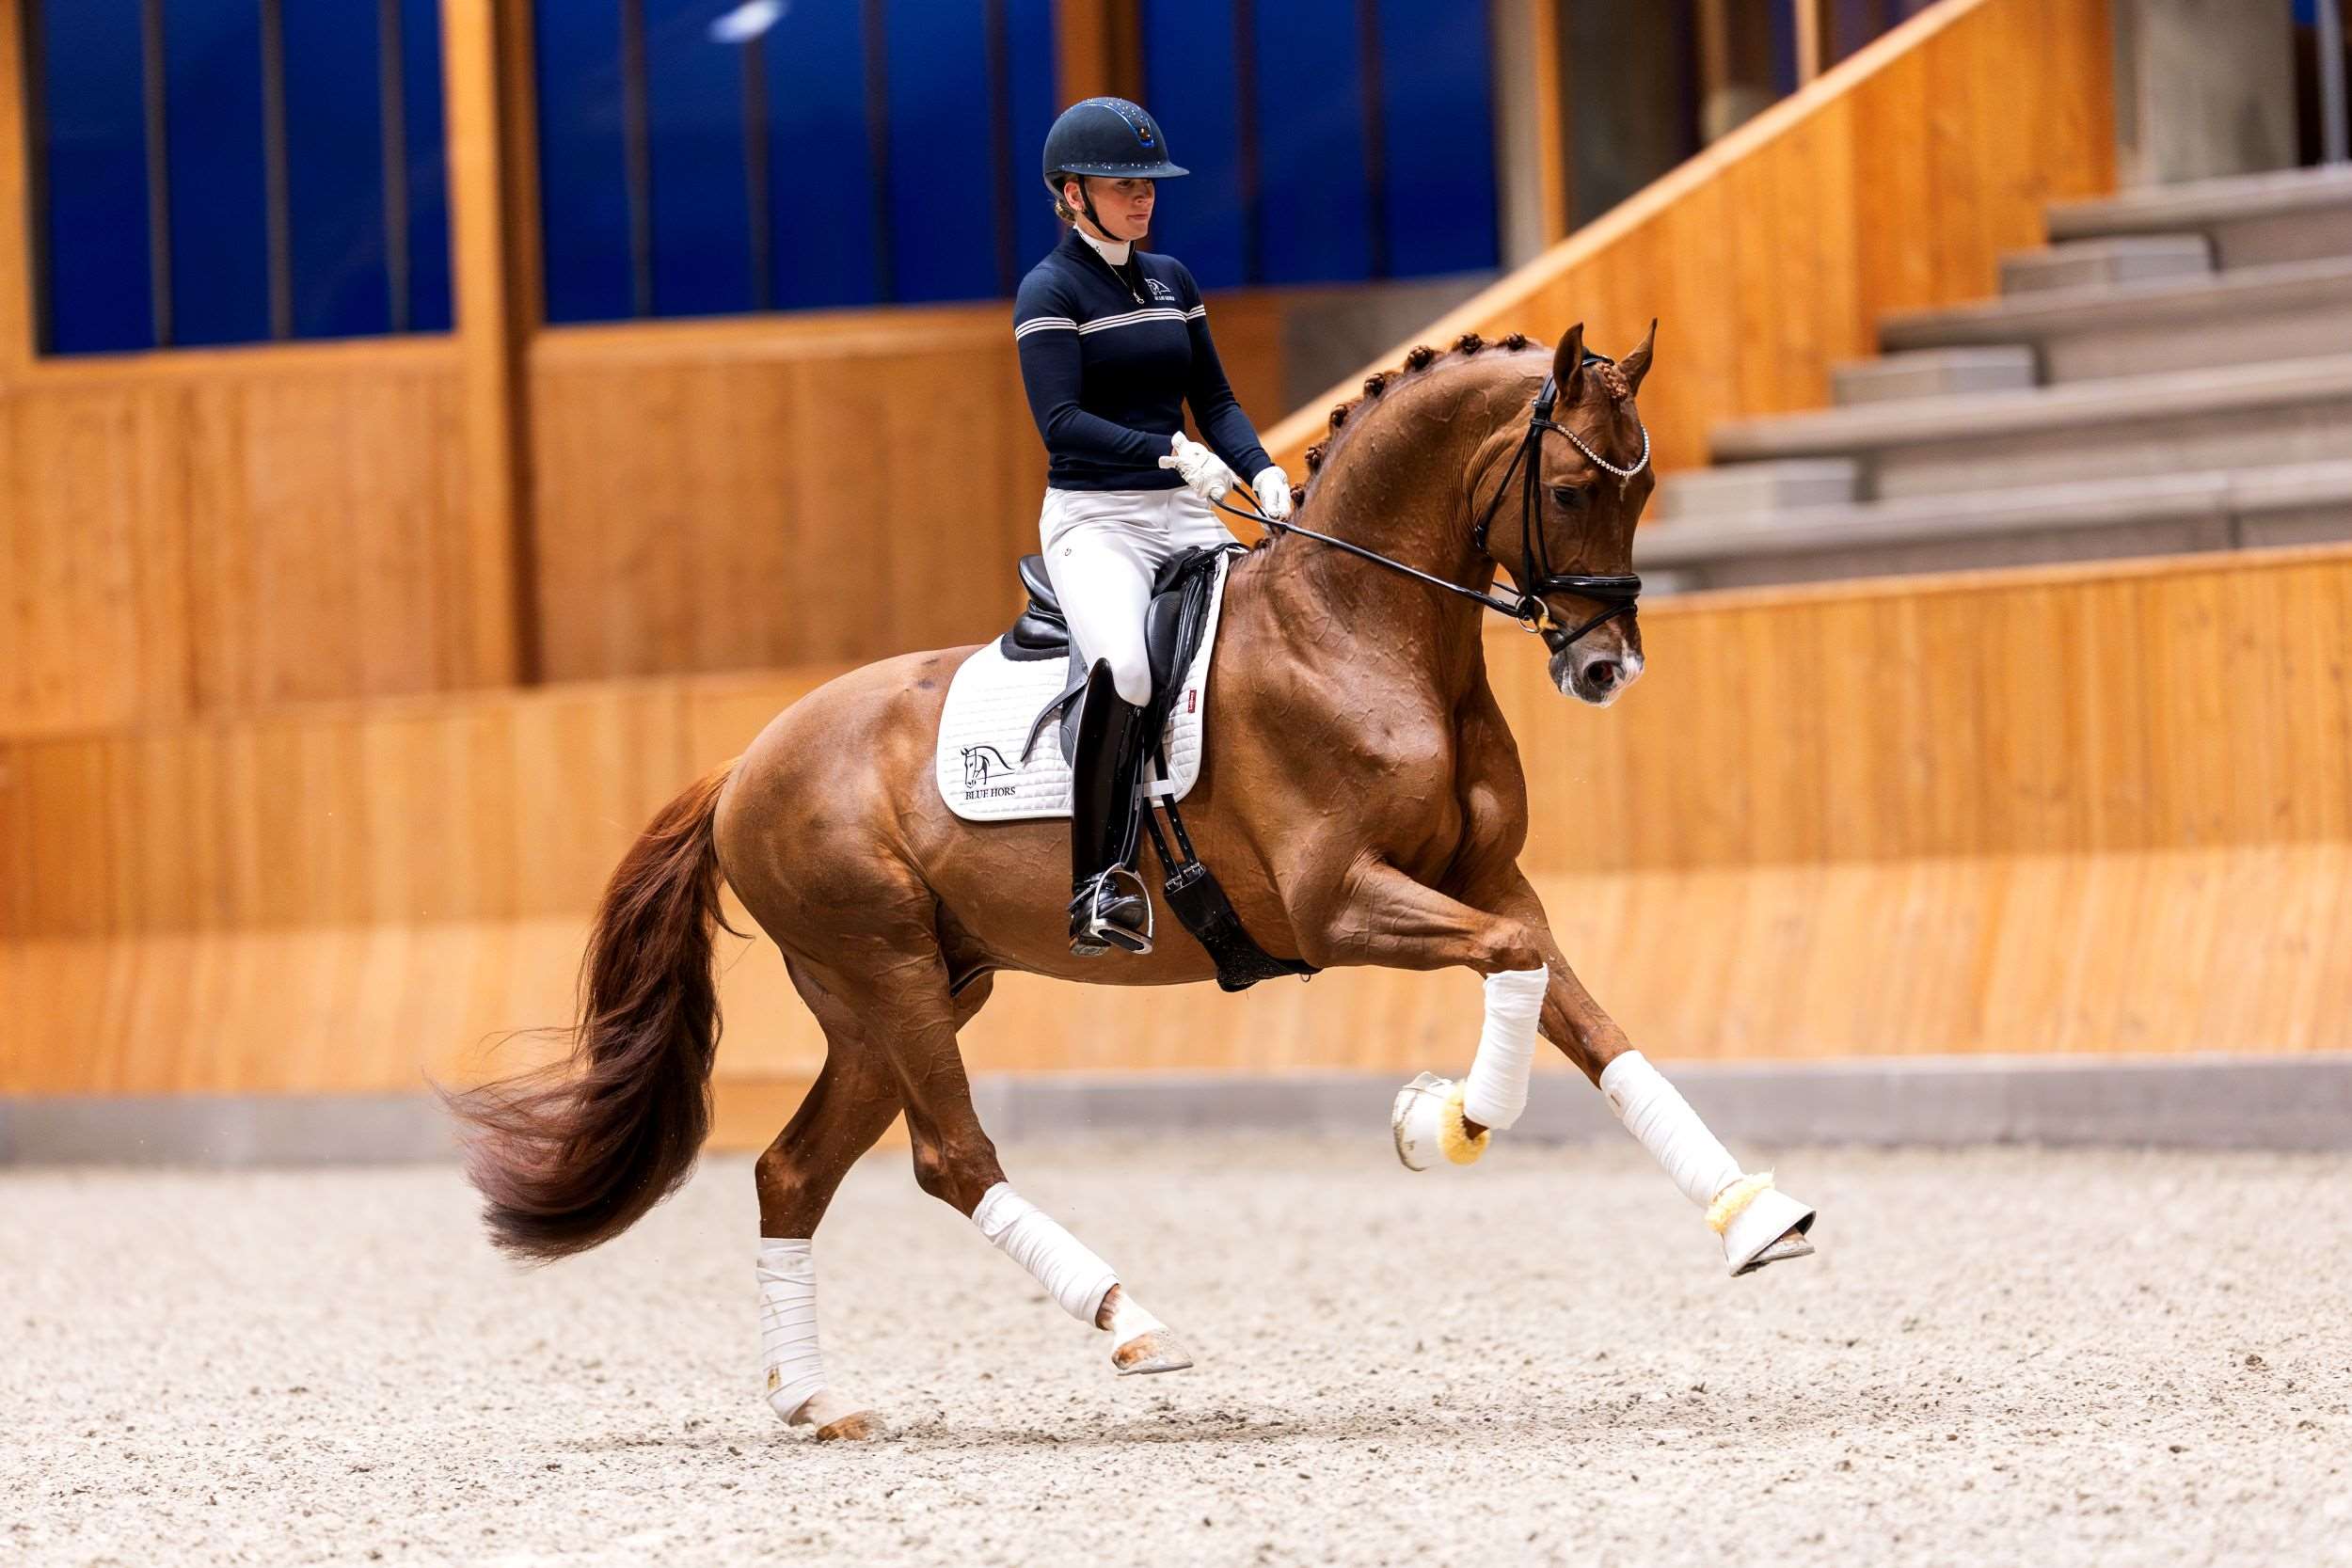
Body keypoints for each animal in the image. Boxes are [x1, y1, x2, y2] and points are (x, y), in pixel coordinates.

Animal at [448, 323, 1817, 1440]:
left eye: (1642, 491)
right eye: (1575, 487)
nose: (1604, 669)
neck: (1364, 629)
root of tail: (744, 762)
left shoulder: (1492, 877)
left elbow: (1586, 1018)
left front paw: (1752, 1215)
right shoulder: (1335, 900)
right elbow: (1516, 969)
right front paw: (1446, 1121)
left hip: (897, 995)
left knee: (792, 1171)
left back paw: (814, 1398)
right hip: (888, 971)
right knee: (954, 1158)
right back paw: (1131, 1320)